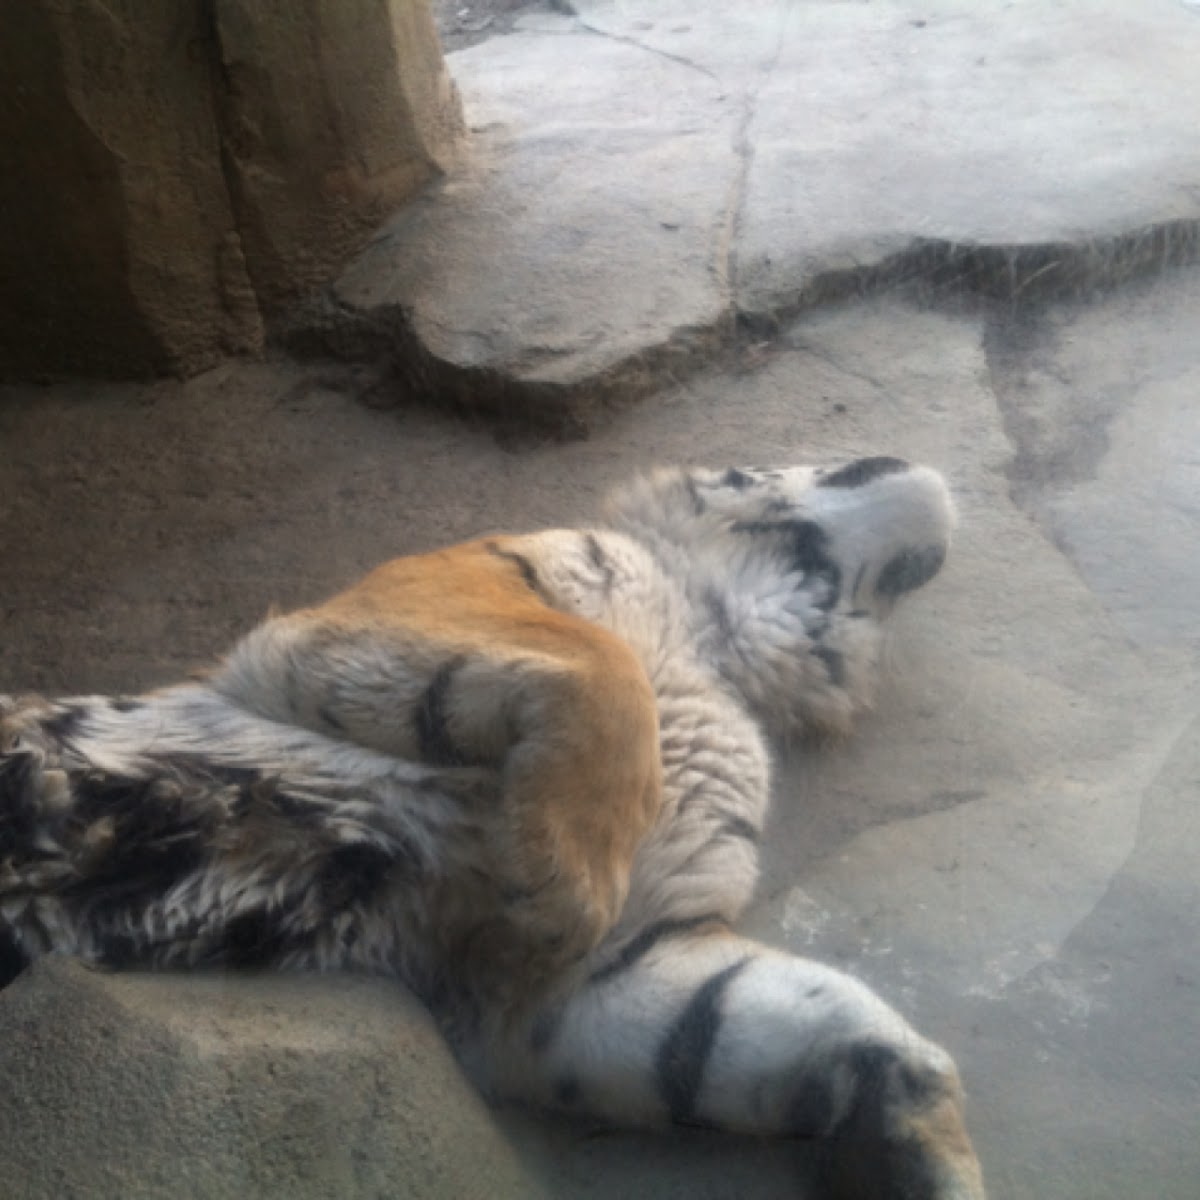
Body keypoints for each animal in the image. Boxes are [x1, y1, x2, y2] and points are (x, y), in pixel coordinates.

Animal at [0, 456, 985, 1199]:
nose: (927, 486)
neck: (719, 637)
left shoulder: (594, 980)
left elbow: (756, 1018)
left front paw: (918, 1135)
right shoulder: (425, 594)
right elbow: (605, 662)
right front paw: (557, 890)